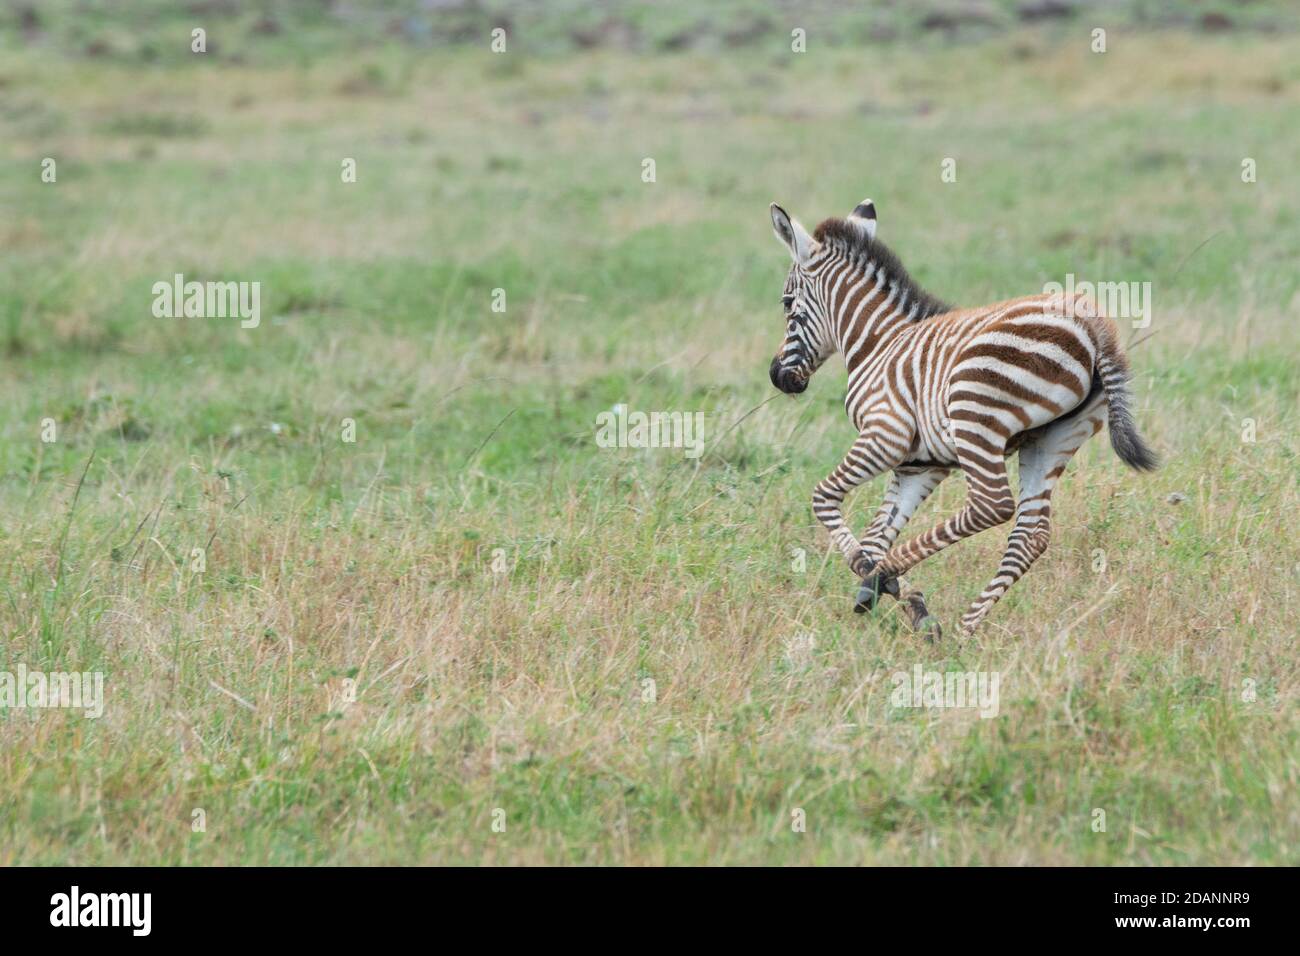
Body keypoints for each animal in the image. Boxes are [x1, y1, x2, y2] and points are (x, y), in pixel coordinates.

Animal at [768, 198, 1156, 637]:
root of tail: (1092, 324)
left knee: (992, 505)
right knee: (1030, 534)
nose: (778, 376)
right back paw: (962, 631)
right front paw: (896, 599)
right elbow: (877, 532)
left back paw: (895, 577)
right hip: (1054, 438)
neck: (879, 342)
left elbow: (826, 500)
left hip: (976, 415)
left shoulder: (886, 435)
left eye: (786, 303)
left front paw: (875, 574)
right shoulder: (920, 465)